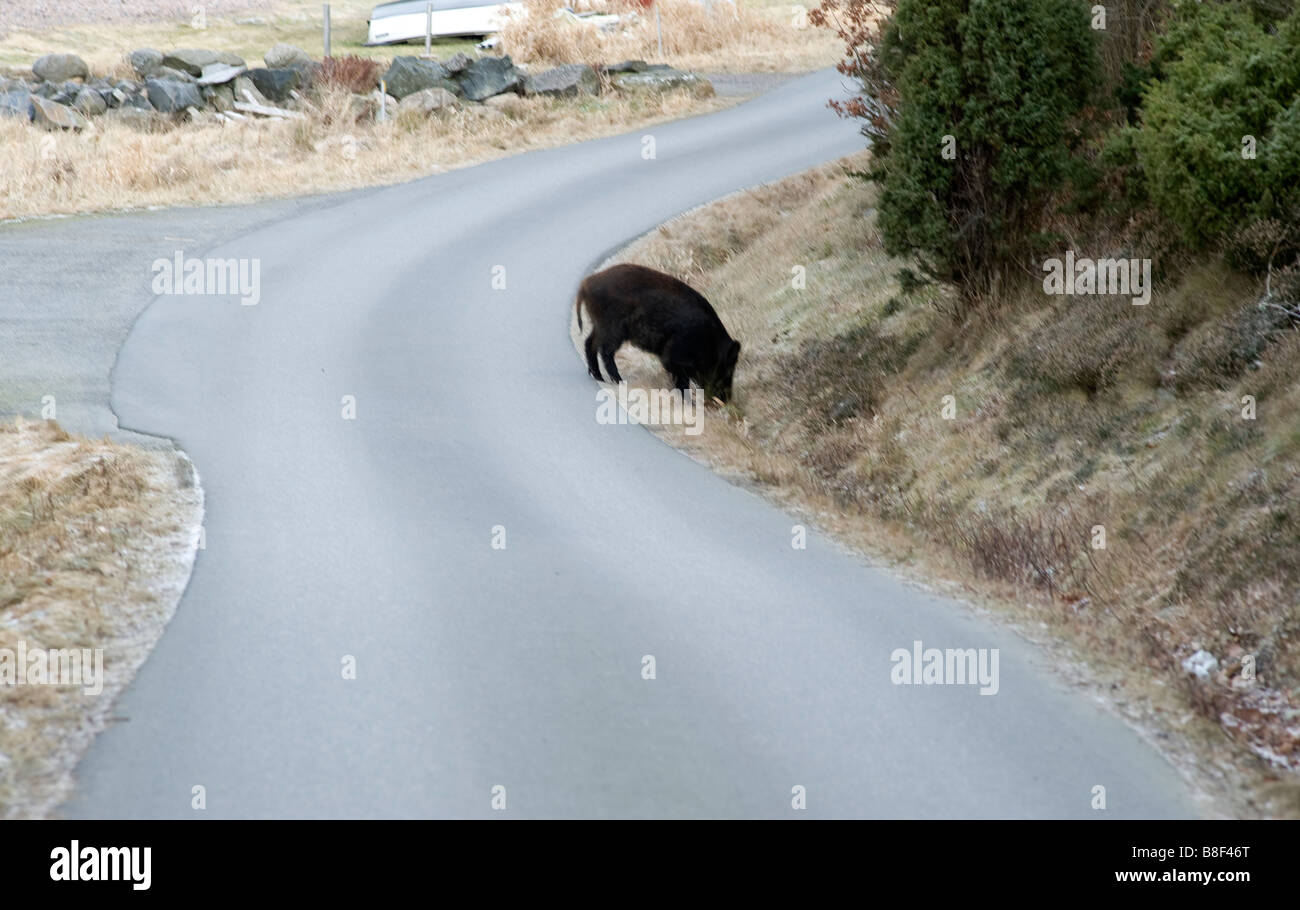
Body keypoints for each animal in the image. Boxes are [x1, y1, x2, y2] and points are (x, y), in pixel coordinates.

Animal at [574, 264, 741, 403]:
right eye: (727, 369)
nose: (726, 400)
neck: (708, 341)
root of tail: (585, 284)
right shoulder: (672, 355)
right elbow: (681, 380)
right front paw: (689, 403)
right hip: (612, 328)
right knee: (605, 351)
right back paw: (619, 381)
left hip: (600, 325)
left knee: (589, 343)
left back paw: (599, 377)